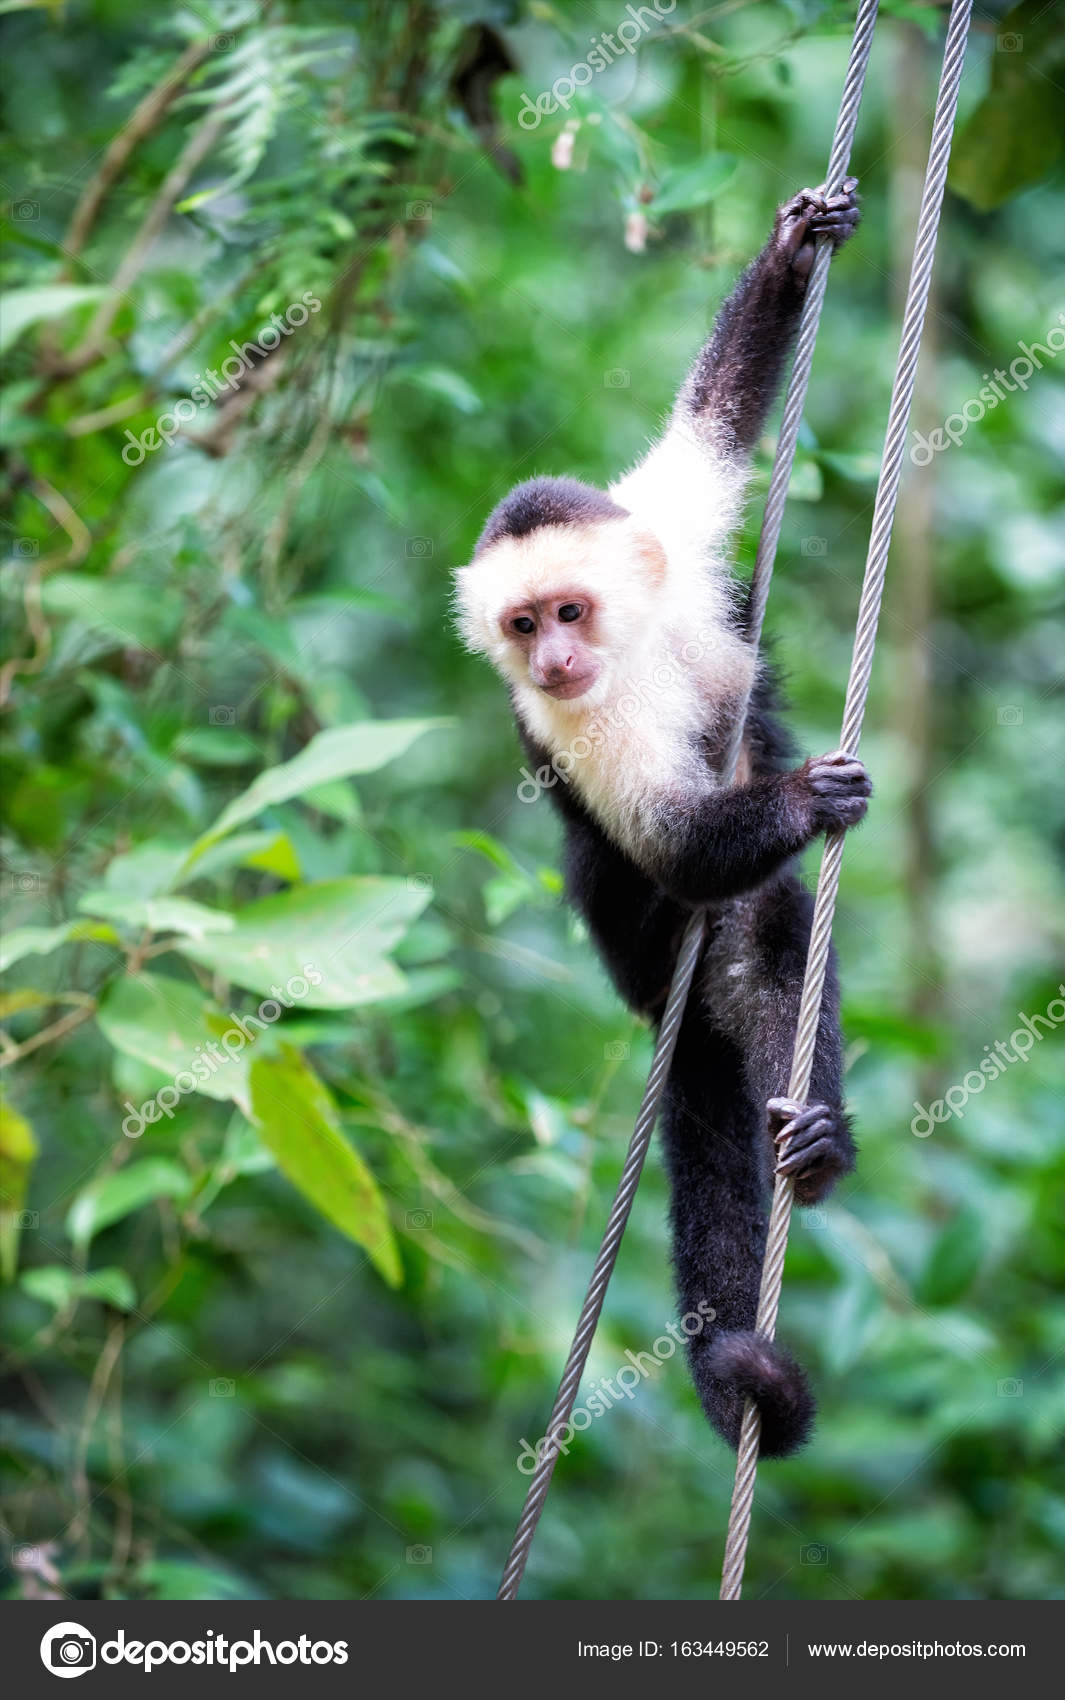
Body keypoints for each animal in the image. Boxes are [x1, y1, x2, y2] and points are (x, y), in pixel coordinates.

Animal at [454, 180, 870, 1458]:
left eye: (568, 609)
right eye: (523, 626)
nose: (555, 656)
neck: (629, 647)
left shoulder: (661, 541)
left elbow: (715, 418)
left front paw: (791, 252)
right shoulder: (573, 722)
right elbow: (666, 839)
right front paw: (797, 795)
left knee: (776, 933)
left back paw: (815, 1145)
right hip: (641, 958)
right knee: (713, 915)